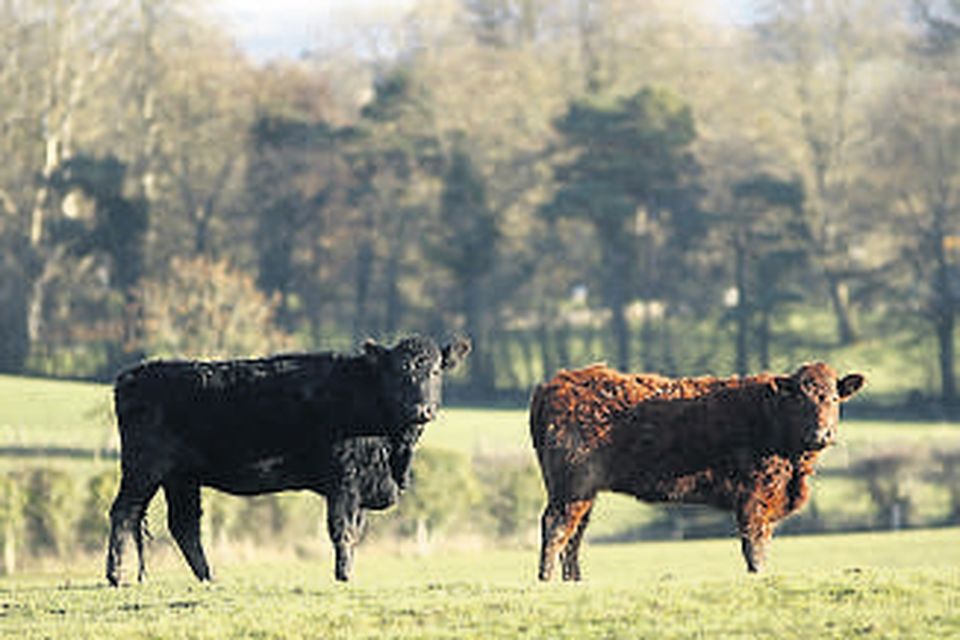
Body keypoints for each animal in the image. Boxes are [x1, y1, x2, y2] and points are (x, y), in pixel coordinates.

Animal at [105, 335, 470, 585]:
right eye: (397, 372)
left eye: (435, 371)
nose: (421, 410)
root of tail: (132, 376)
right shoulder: (344, 481)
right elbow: (342, 529)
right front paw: (343, 576)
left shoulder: (362, 487)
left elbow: (356, 530)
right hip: (143, 470)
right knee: (124, 512)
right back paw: (116, 575)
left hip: (181, 479)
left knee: (183, 525)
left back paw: (209, 577)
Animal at [529, 362, 865, 581]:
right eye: (800, 400)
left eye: (834, 398)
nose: (821, 434)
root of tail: (556, 383)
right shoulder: (754, 497)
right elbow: (754, 544)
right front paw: (757, 576)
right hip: (571, 487)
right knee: (556, 527)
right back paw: (546, 579)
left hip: (583, 492)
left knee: (574, 535)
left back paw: (574, 581)